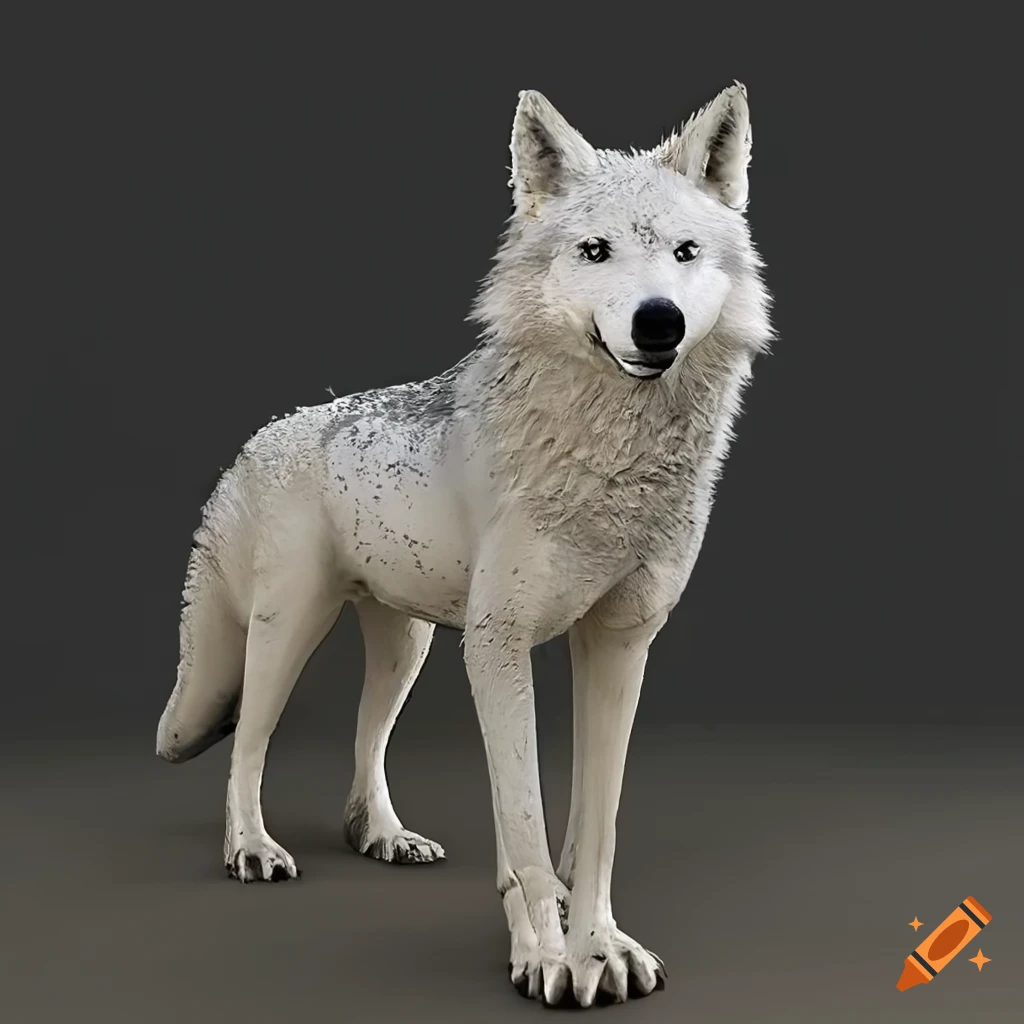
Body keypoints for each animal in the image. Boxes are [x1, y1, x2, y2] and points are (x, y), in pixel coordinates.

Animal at [156, 82, 773, 1007]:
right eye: (595, 250)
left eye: (686, 252)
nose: (657, 323)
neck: (607, 466)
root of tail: (260, 438)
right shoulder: (497, 645)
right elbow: (522, 823)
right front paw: (547, 957)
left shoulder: (620, 644)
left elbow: (597, 827)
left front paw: (602, 944)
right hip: (287, 633)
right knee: (248, 748)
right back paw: (252, 850)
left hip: (405, 645)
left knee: (366, 741)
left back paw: (381, 835)